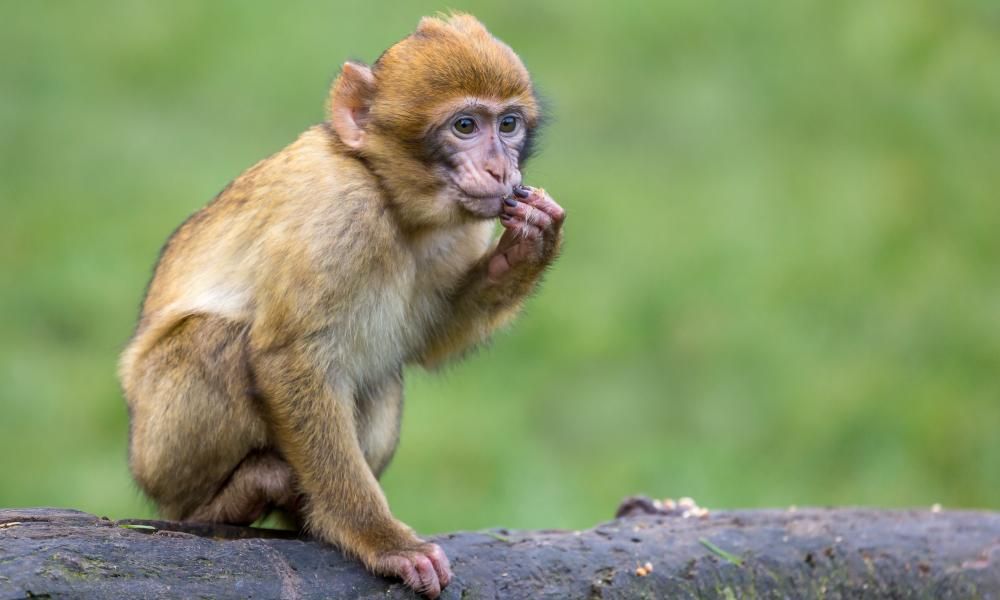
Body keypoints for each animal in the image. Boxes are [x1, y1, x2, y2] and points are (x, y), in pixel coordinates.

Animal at [118, 13, 564, 599]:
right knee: (212, 340)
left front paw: (529, 246)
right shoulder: (339, 216)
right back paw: (226, 504)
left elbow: (428, 343)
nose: (499, 169)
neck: (389, 195)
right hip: (158, 454)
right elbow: (290, 358)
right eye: (465, 126)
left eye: (508, 124)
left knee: (382, 374)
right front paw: (380, 538)